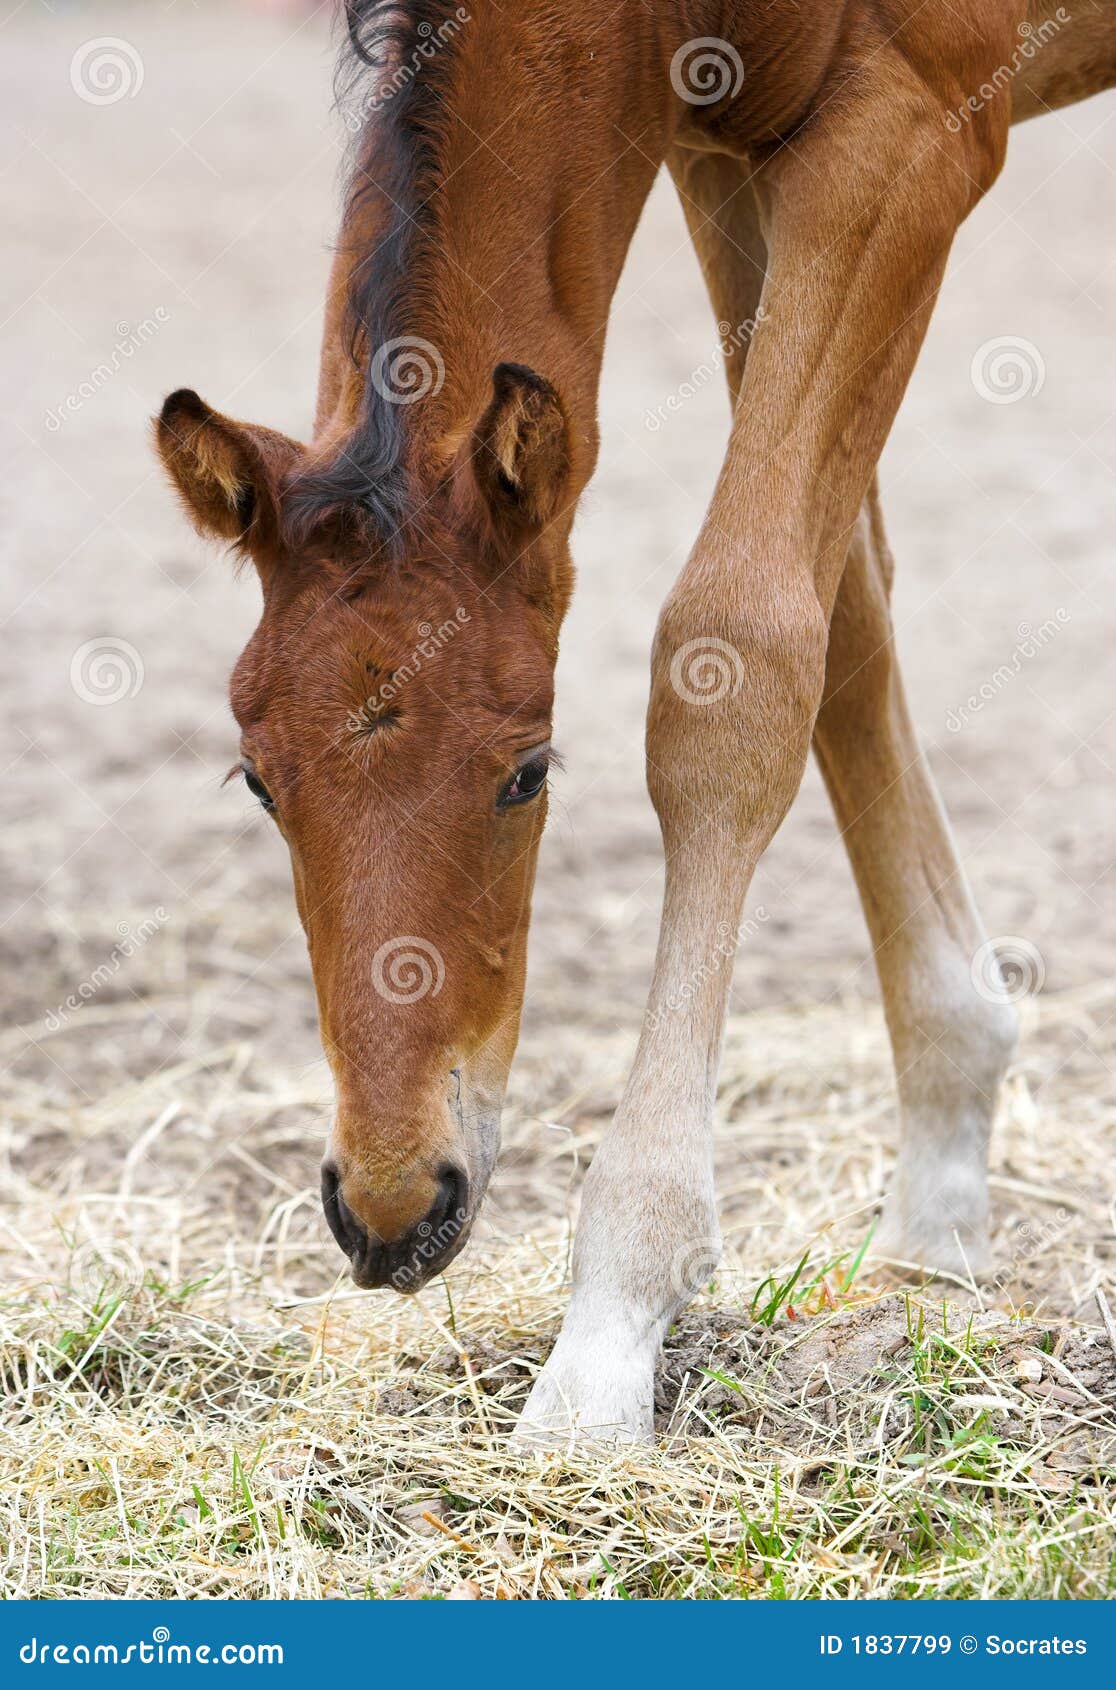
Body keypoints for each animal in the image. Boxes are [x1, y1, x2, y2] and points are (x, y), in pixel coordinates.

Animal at [155, 0, 1116, 1444]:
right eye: (259, 782)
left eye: (527, 772)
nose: (391, 1208)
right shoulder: (731, 160)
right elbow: (845, 617)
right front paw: (944, 1185)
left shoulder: (913, 130)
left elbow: (739, 651)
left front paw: (608, 1332)